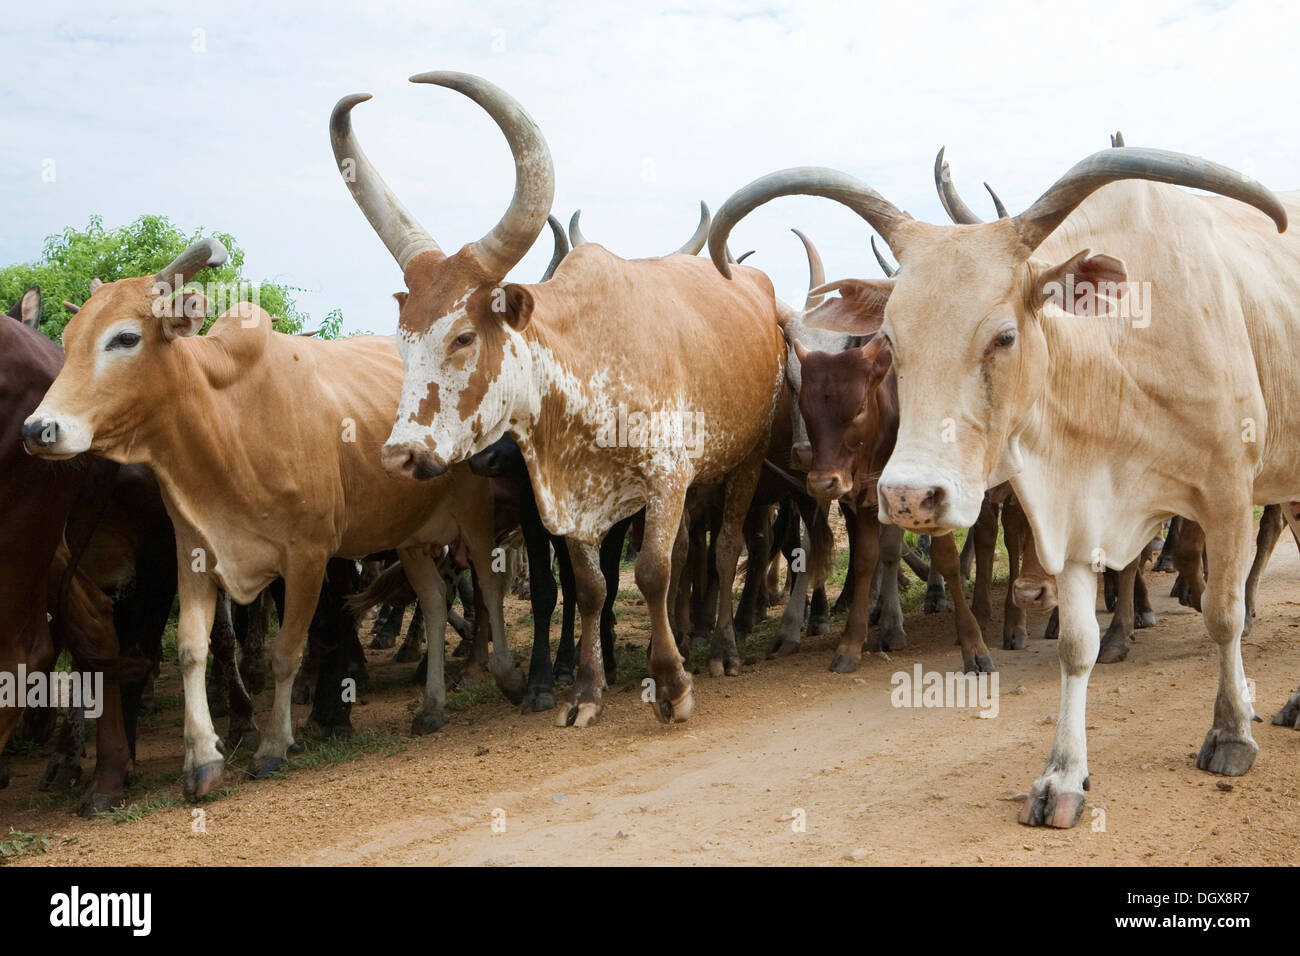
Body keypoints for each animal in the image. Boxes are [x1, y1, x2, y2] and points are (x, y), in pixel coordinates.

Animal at [22, 240, 524, 799]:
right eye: (68, 339)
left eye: (125, 337)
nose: (39, 430)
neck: (228, 421)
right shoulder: (194, 553)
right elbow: (192, 648)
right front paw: (202, 759)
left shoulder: (307, 557)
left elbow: (287, 651)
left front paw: (273, 745)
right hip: (411, 537)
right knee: (434, 602)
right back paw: (432, 706)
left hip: (476, 513)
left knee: (487, 584)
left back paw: (504, 676)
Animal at [331, 71, 785, 726]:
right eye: (403, 339)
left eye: (464, 336)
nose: (399, 455)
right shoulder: (570, 501)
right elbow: (589, 587)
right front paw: (585, 691)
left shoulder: (666, 476)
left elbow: (652, 572)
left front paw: (672, 685)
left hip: (746, 456)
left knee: (724, 550)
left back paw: (722, 647)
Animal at [707, 145, 1293, 828]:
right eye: (891, 342)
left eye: (1004, 336)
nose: (909, 497)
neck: (1123, 353)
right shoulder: (1072, 517)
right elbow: (1076, 644)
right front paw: (1062, 777)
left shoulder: (1226, 497)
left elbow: (1224, 616)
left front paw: (1231, 733)